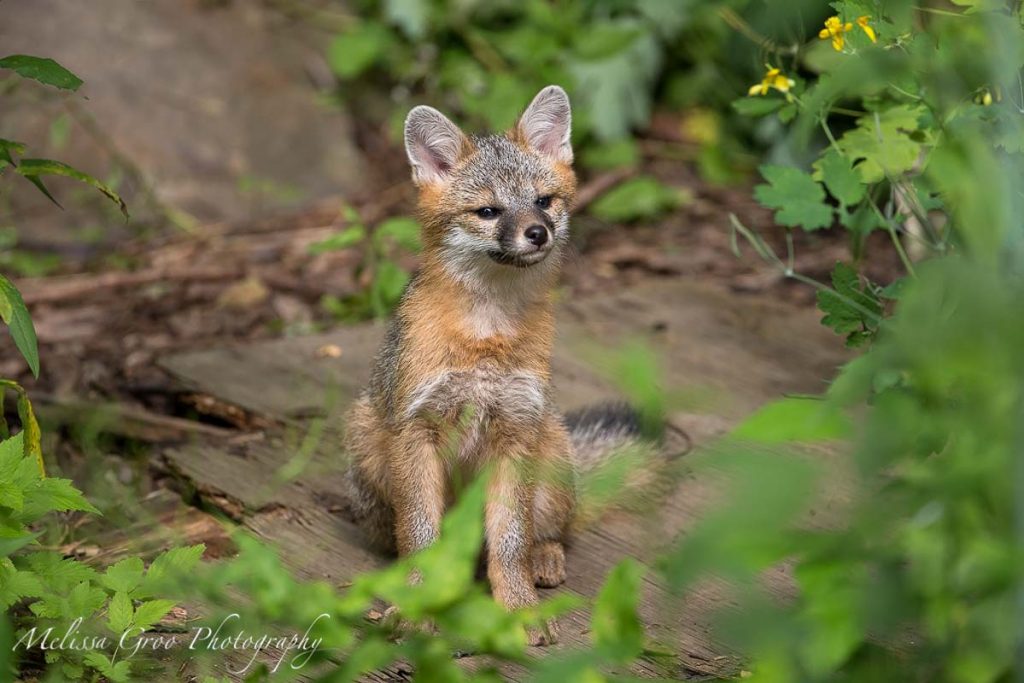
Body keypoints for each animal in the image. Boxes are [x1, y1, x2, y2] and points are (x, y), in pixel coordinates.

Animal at [342, 85, 663, 645]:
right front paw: (418, 604)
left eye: (543, 201)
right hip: (366, 442)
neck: (486, 335)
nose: (537, 232)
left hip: (548, 447)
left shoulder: (515, 430)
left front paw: (518, 609)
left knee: (546, 531)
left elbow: (510, 540)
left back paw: (544, 559)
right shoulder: (417, 431)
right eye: (489, 211)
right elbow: (421, 536)